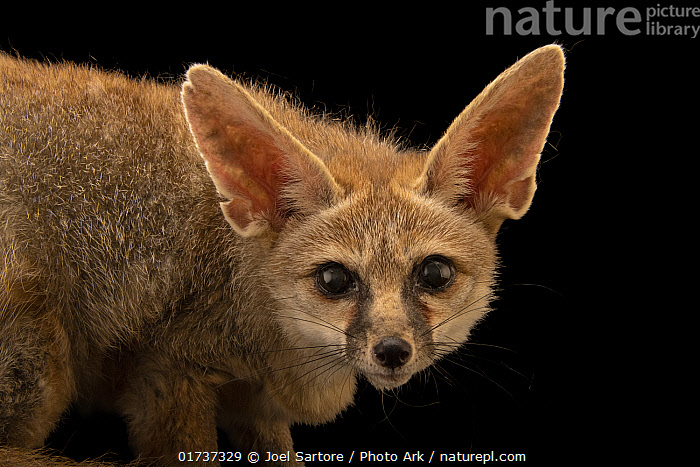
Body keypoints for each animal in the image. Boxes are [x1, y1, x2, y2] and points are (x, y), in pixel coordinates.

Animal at [0, 45, 564, 465]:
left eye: (435, 273)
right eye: (333, 280)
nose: (392, 350)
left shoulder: (256, 409)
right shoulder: (168, 376)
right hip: (41, 373)